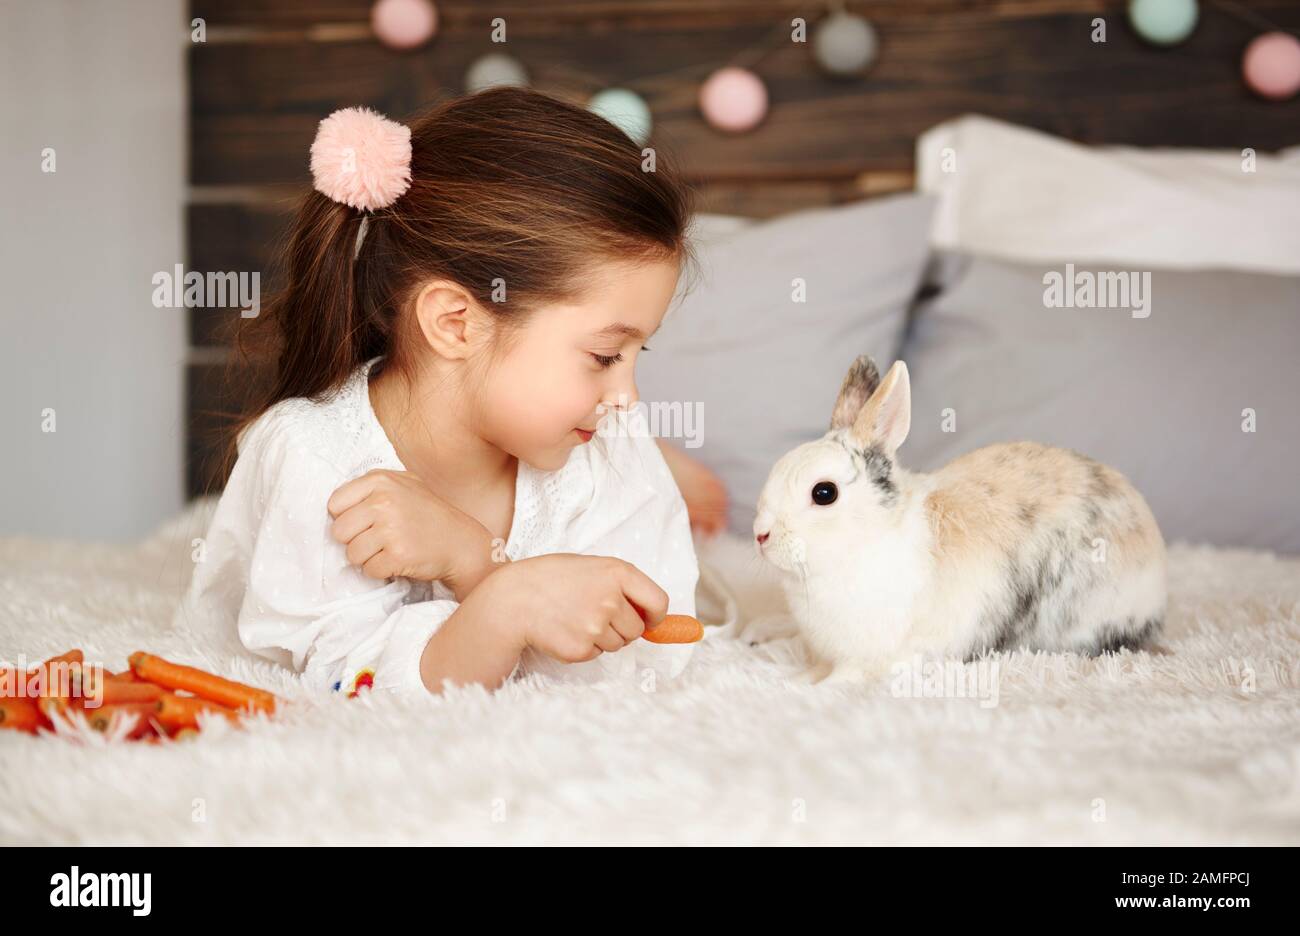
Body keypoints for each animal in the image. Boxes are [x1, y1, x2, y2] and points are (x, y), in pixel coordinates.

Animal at [752, 354, 1167, 687]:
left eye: (824, 493)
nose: (761, 535)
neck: (873, 537)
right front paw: (791, 676)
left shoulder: (874, 658)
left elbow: (841, 679)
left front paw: (803, 689)